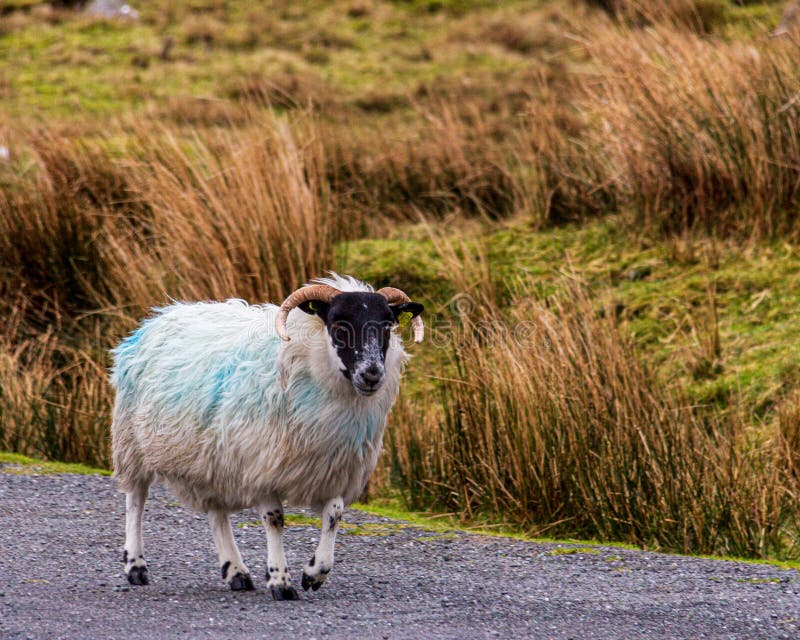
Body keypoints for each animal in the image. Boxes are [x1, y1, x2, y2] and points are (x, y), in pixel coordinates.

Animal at [110, 274, 424, 600]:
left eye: (387, 326)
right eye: (338, 325)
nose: (372, 374)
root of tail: (160, 316)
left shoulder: (334, 469)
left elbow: (334, 514)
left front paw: (315, 572)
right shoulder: (260, 464)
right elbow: (275, 520)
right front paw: (280, 580)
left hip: (210, 455)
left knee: (216, 512)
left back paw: (235, 571)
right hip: (132, 441)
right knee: (136, 500)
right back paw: (135, 566)